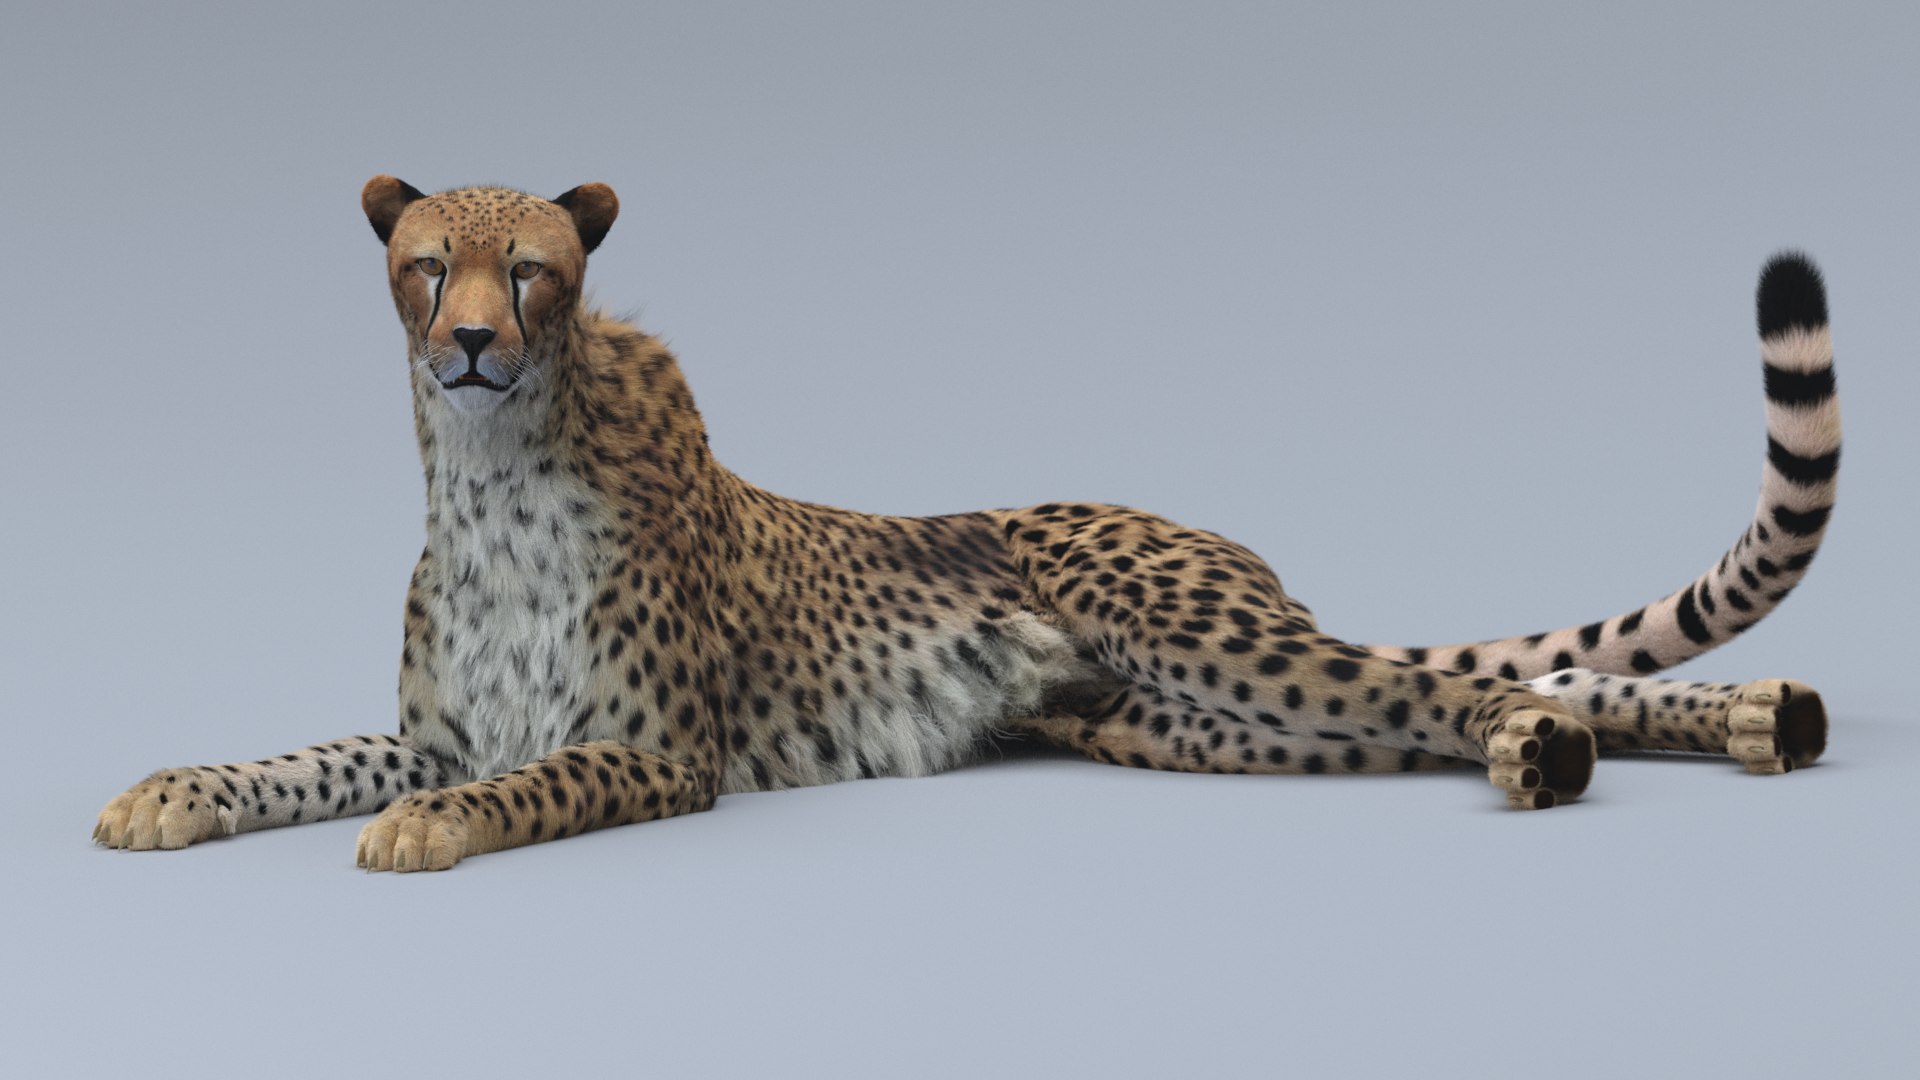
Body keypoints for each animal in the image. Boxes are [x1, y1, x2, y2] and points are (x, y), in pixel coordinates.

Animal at [93, 177, 1841, 870]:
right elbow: (306, 756)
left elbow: (529, 781)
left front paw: (430, 831)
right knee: (1479, 693)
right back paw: (1747, 718)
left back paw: (1628, 739)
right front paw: (169, 792)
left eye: (528, 271)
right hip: (1177, 726)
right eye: (422, 268)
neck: (497, 470)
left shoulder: (657, 753)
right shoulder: (439, 726)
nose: (465, 343)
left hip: (1221, 652)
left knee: (1452, 687)